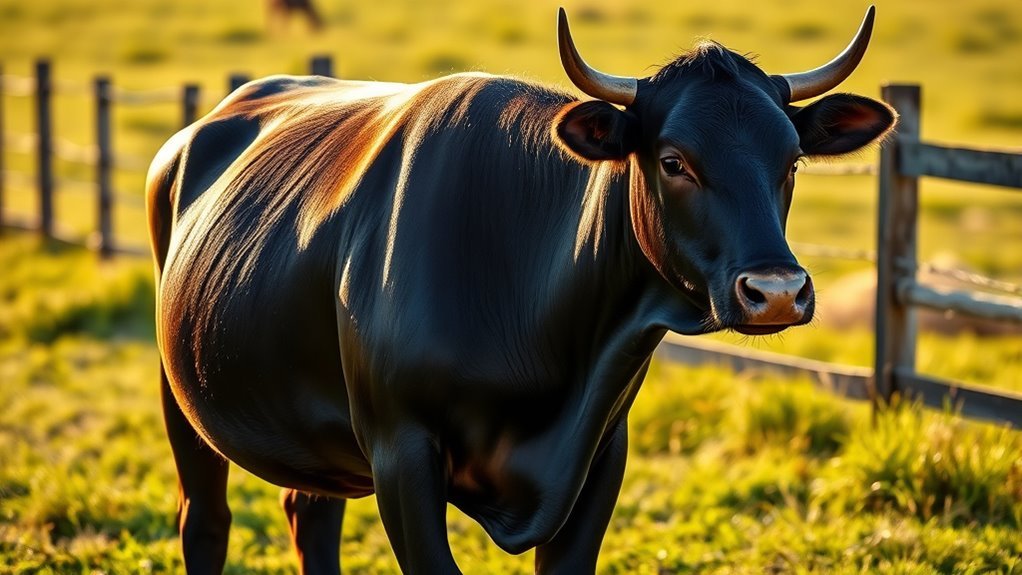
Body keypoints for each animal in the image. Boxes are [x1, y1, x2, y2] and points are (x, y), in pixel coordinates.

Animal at [146, 7, 895, 574]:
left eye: (791, 161)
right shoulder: (400, 450)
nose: (777, 291)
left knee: (310, 516)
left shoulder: (600, 454)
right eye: (674, 160)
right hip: (181, 396)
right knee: (205, 521)